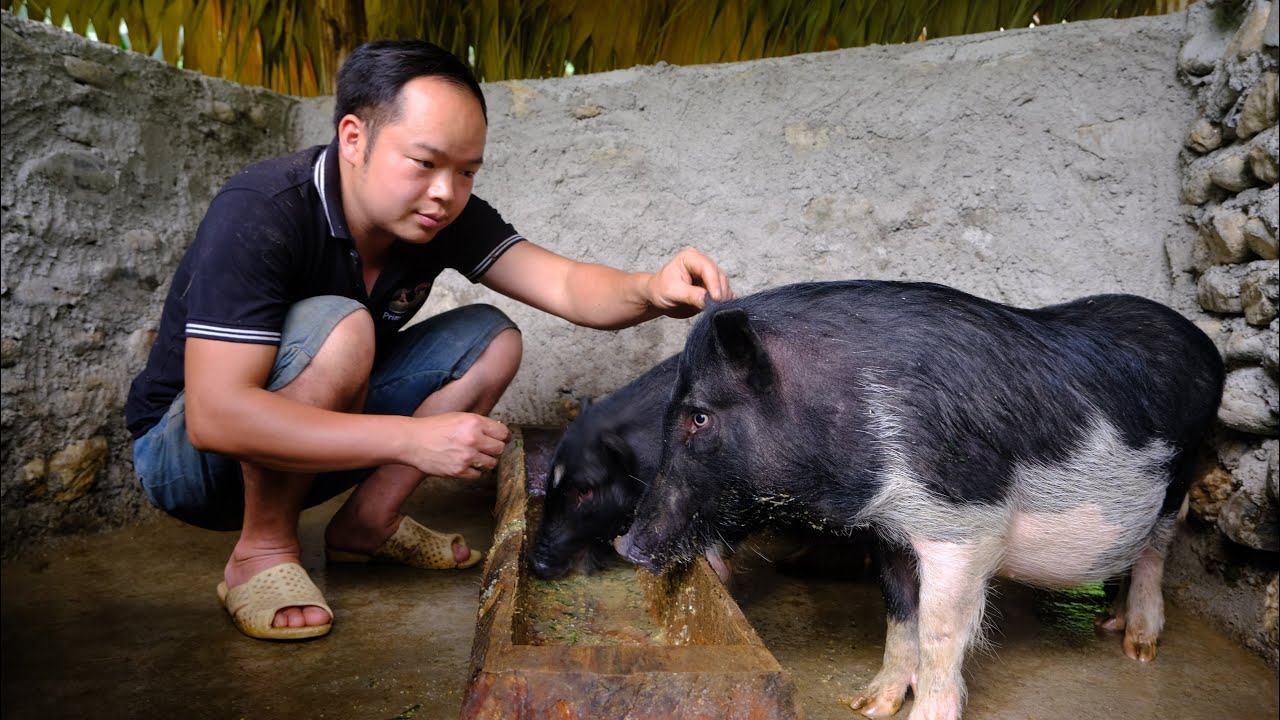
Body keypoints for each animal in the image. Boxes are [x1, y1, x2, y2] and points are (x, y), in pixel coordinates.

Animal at [615, 280, 1225, 720]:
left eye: (699, 417)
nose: (626, 545)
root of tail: (1205, 345)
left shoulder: (962, 526)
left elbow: (938, 629)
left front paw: (925, 715)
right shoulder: (888, 531)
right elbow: (898, 612)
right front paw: (868, 706)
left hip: (1179, 476)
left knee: (1156, 548)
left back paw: (1139, 647)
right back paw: (1109, 626)